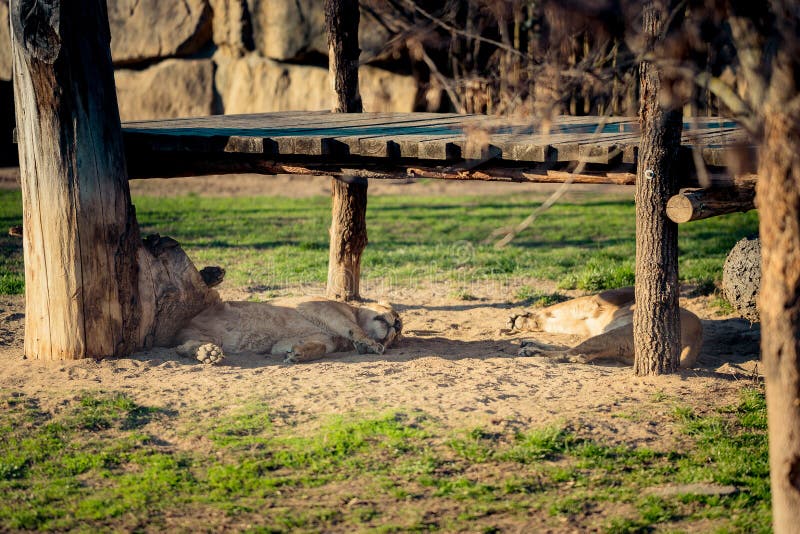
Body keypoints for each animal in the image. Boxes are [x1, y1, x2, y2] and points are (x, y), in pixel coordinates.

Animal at [507, 287, 703, 367]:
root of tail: (695, 342)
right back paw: (529, 344)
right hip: (615, 343)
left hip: (621, 333)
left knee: (571, 353)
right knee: (577, 352)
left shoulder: (597, 301)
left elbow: (551, 313)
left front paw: (522, 321)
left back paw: (532, 351)